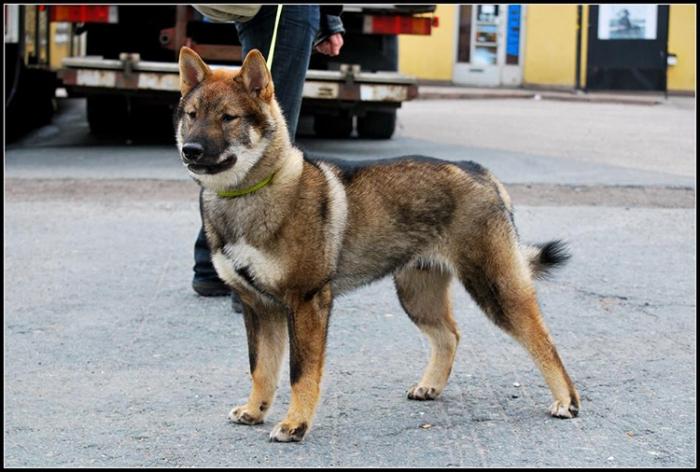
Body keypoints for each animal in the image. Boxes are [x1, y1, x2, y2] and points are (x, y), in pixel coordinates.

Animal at [178, 47, 584, 442]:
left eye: (228, 117)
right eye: (192, 115)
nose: (190, 150)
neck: (248, 197)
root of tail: (477, 170)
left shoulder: (306, 302)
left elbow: (300, 373)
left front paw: (296, 424)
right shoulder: (259, 307)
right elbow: (260, 368)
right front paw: (254, 411)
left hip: (495, 290)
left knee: (543, 340)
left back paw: (566, 400)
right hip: (416, 295)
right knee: (449, 336)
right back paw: (430, 385)